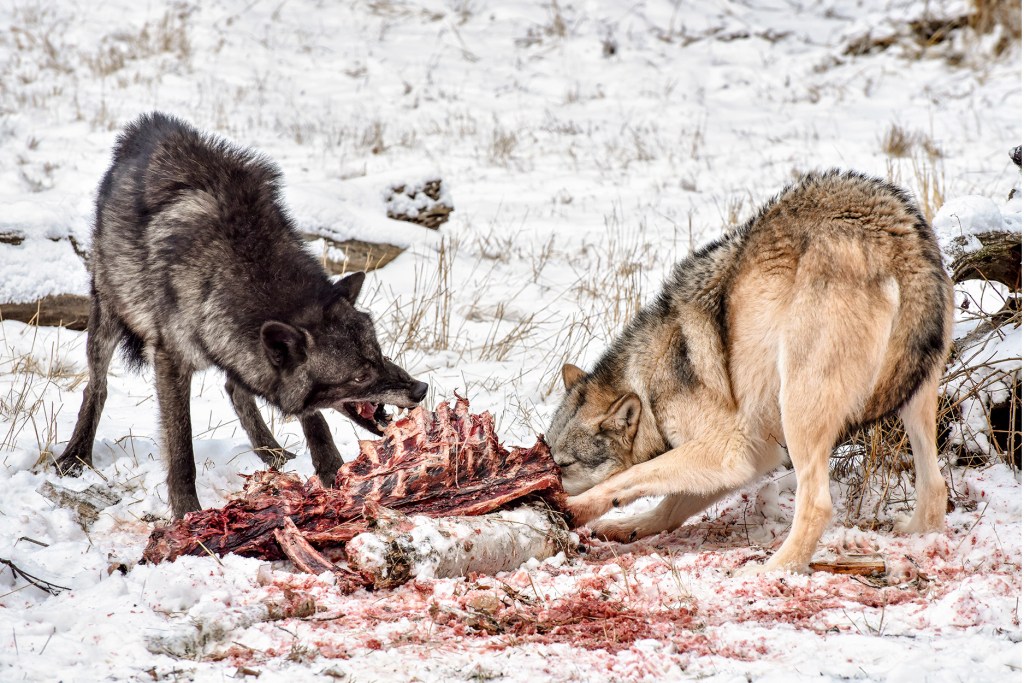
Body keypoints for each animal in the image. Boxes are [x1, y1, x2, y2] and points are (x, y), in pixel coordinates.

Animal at [53, 112, 428, 519]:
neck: (238, 265)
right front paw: (186, 512)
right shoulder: (170, 361)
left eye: (379, 353)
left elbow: (317, 422)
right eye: (360, 376)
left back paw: (272, 452)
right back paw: (75, 455)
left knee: (235, 388)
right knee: (96, 386)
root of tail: (148, 124)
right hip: (108, 316)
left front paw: (332, 473)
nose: (420, 390)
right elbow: (181, 448)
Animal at [547, 170, 953, 573]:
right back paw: (916, 532)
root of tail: (895, 234)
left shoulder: (728, 449)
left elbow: (631, 477)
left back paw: (774, 569)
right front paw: (627, 527)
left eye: (564, 465)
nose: (542, 494)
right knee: (936, 488)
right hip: (914, 393)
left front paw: (575, 508)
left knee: (818, 504)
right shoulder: (753, 455)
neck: (649, 385)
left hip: (799, 408)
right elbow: (670, 506)